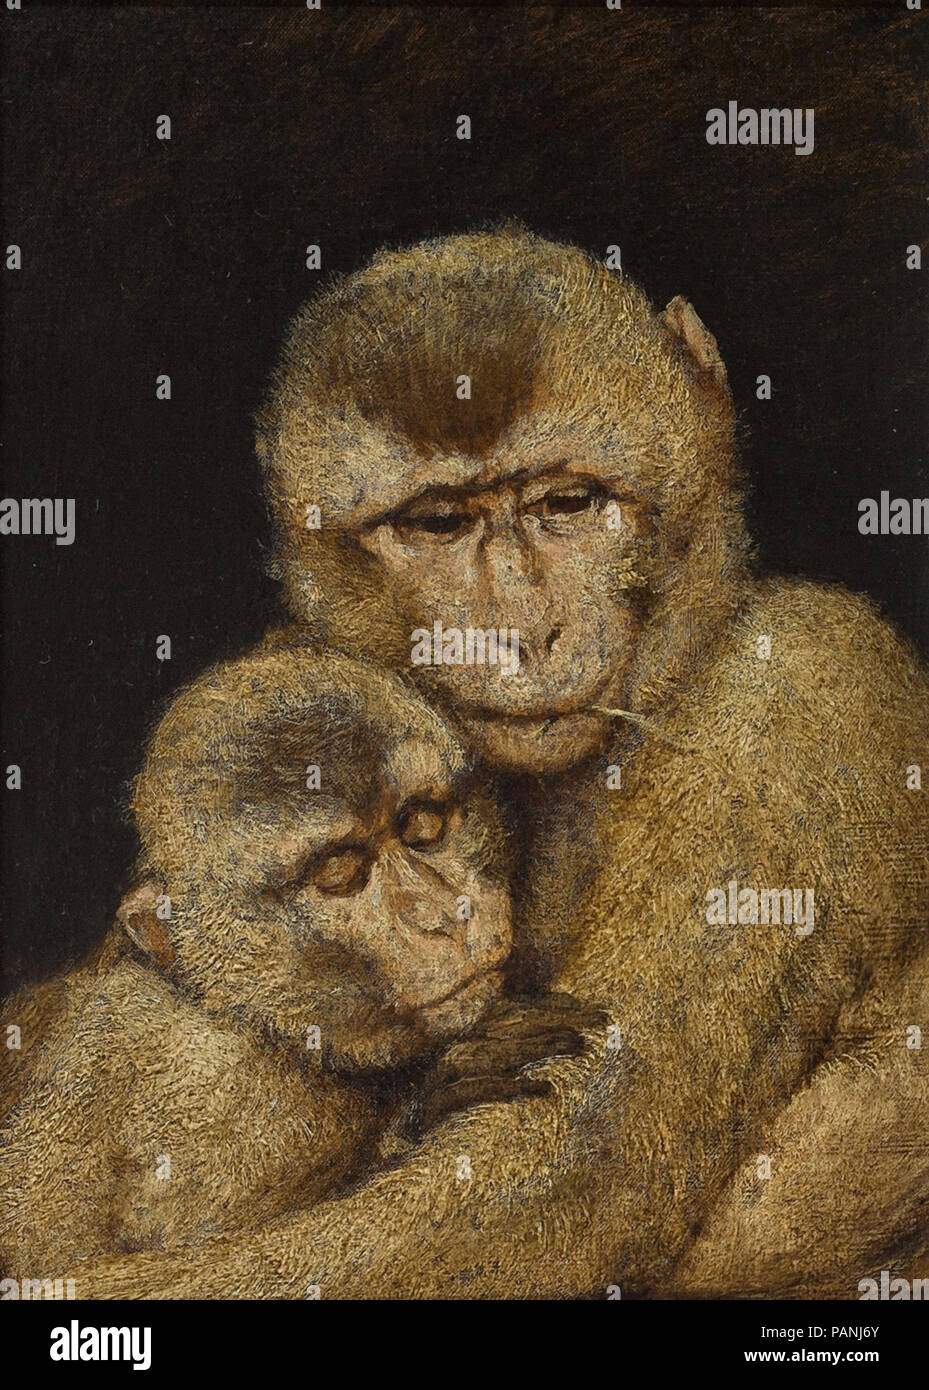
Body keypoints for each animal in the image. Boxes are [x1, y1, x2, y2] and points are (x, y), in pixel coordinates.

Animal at [1, 643, 598, 1278]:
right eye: (339, 873)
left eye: (422, 824)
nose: (443, 914)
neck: (270, 1037)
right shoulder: (152, 1063)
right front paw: (427, 1099)